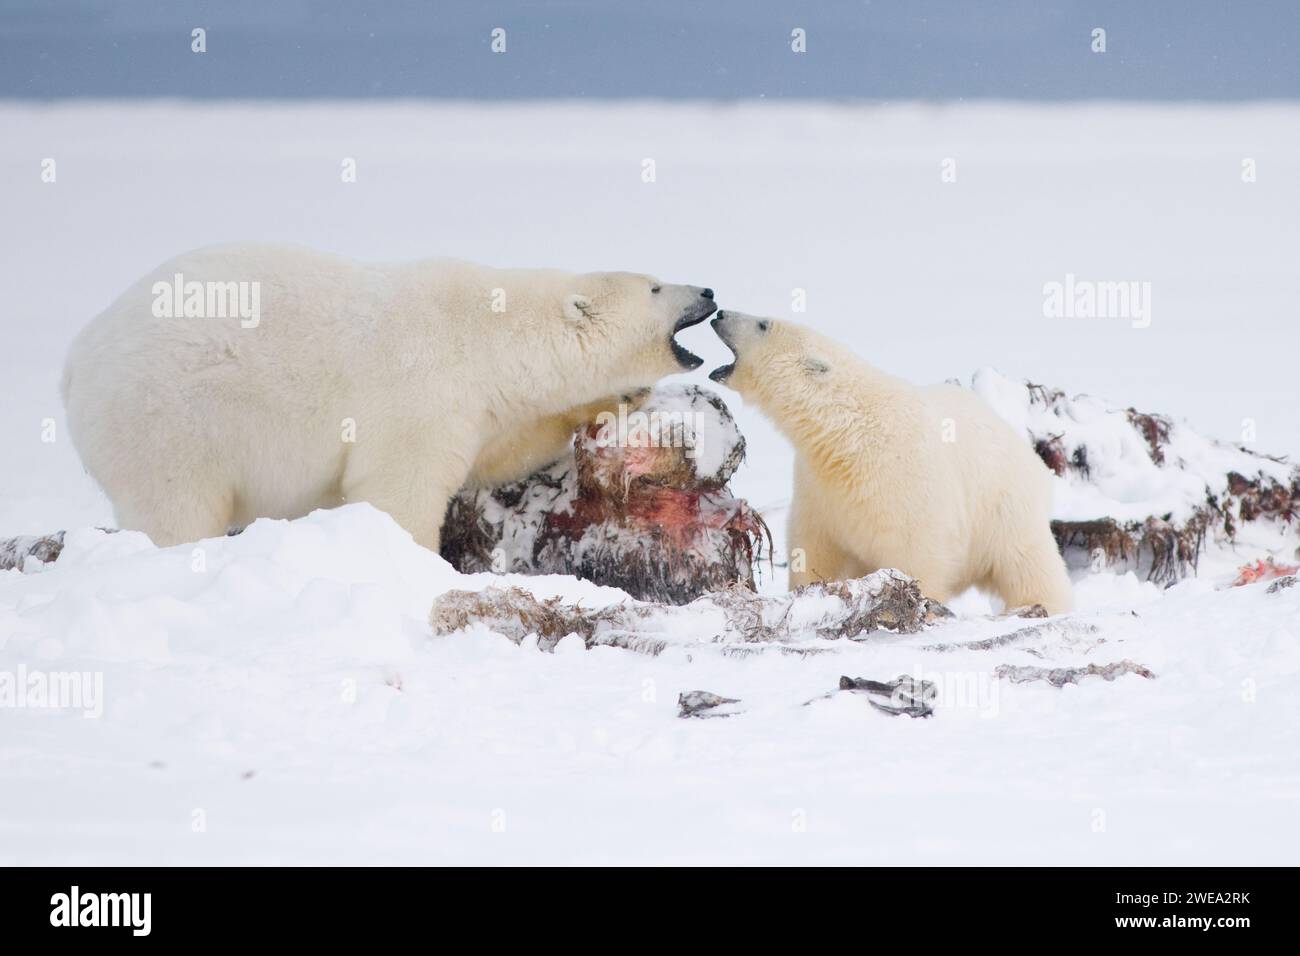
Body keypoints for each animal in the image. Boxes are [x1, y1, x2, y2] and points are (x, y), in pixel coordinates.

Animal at [61, 243, 716, 550]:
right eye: (656, 287)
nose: (708, 290)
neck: (490, 330)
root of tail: (74, 364)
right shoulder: (420, 392)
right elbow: (399, 488)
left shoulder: (482, 406)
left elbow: (505, 449)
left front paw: (620, 395)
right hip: (167, 421)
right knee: (175, 508)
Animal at [708, 311, 1073, 614]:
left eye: (762, 324)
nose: (720, 313)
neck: (846, 433)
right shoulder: (818, 486)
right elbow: (816, 545)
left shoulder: (902, 479)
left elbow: (917, 552)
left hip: (1005, 508)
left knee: (1027, 563)